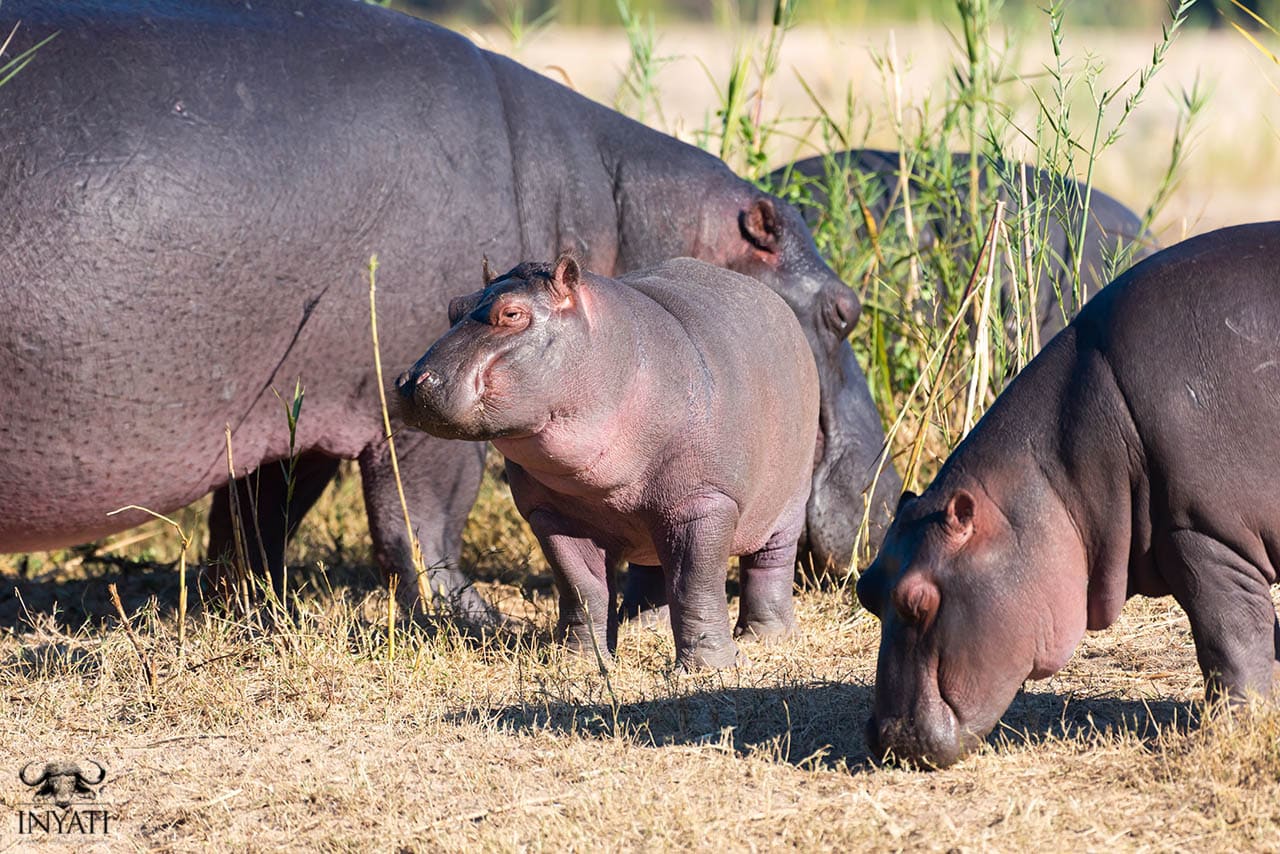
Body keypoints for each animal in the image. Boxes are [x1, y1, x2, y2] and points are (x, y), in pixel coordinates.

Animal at [0, 0, 895, 617]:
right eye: (844, 312)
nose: (892, 502)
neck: (617, 216)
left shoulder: (295, 400)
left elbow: (257, 522)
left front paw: (254, 613)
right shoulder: (410, 397)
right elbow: (422, 519)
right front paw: (479, 620)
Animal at [397, 255, 819, 669]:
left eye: (512, 313)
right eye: (455, 307)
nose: (412, 381)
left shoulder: (702, 504)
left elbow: (695, 584)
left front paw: (711, 668)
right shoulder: (554, 515)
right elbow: (583, 587)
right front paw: (580, 662)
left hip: (786, 505)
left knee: (770, 564)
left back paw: (765, 638)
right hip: (651, 519)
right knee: (653, 570)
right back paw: (641, 628)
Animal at [856, 222, 1280, 768]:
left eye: (916, 602)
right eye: (865, 590)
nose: (883, 735)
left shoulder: (1205, 534)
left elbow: (1232, 641)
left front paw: (1229, 733)